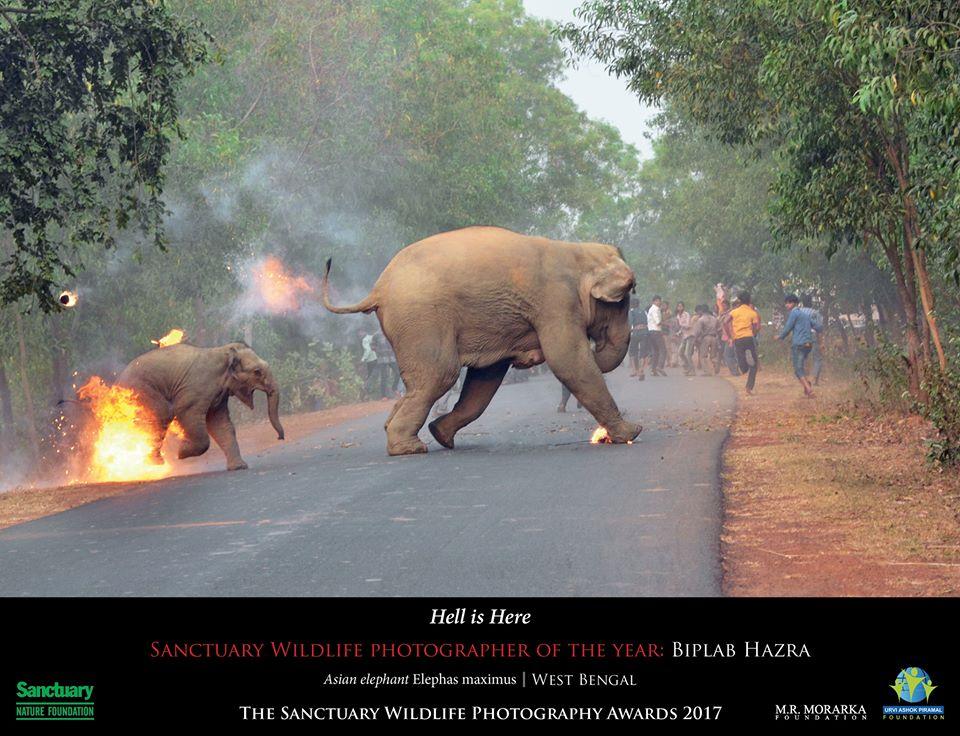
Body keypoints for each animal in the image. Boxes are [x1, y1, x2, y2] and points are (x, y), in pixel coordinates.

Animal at [116, 342, 284, 470]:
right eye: (257, 372)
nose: (279, 438)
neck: (224, 351)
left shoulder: (219, 396)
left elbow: (220, 424)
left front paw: (239, 467)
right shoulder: (196, 389)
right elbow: (186, 413)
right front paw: (181, 452)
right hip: (142, 391)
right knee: (162, 415)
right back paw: (155, 463)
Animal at [322, 226, 641, 456]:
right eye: (623, 301)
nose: (597, 346)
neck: (577, 251)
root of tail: (378, 289)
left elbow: (485, 378)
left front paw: (441, 433)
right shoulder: (556, 302)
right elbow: (568, 360)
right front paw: (631, 433)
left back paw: (411, 434)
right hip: (421, 319)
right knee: (441, 374)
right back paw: (408, 449)